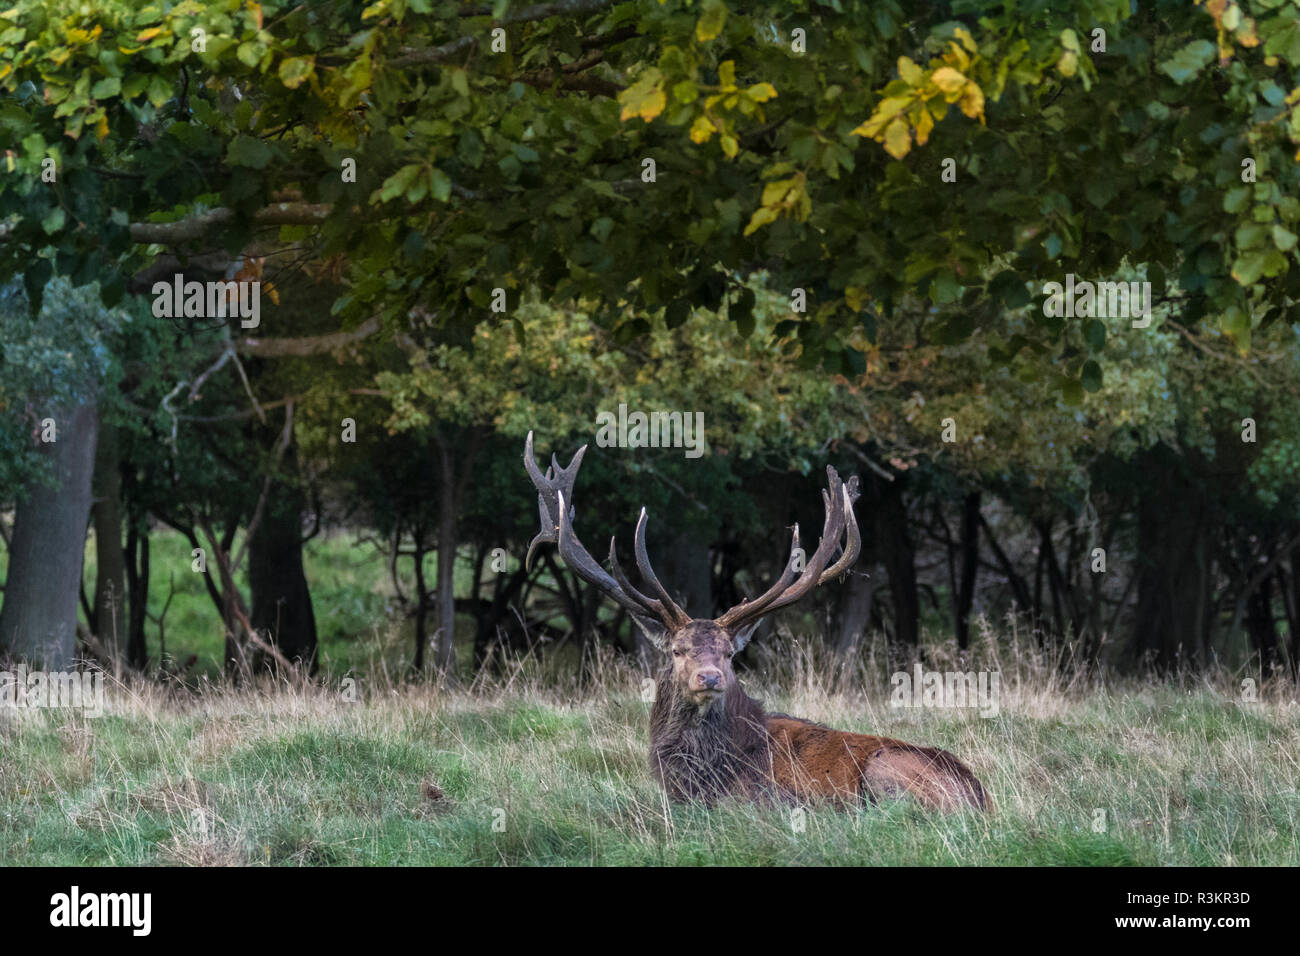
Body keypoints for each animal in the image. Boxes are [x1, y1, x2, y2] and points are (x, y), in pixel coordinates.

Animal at [524, 433, 989, 812]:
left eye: (730, 654)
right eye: (677, 650)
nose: (710, 677)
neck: (700, 778)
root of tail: (979, 797)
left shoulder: (761, 801)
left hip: (885, 770)